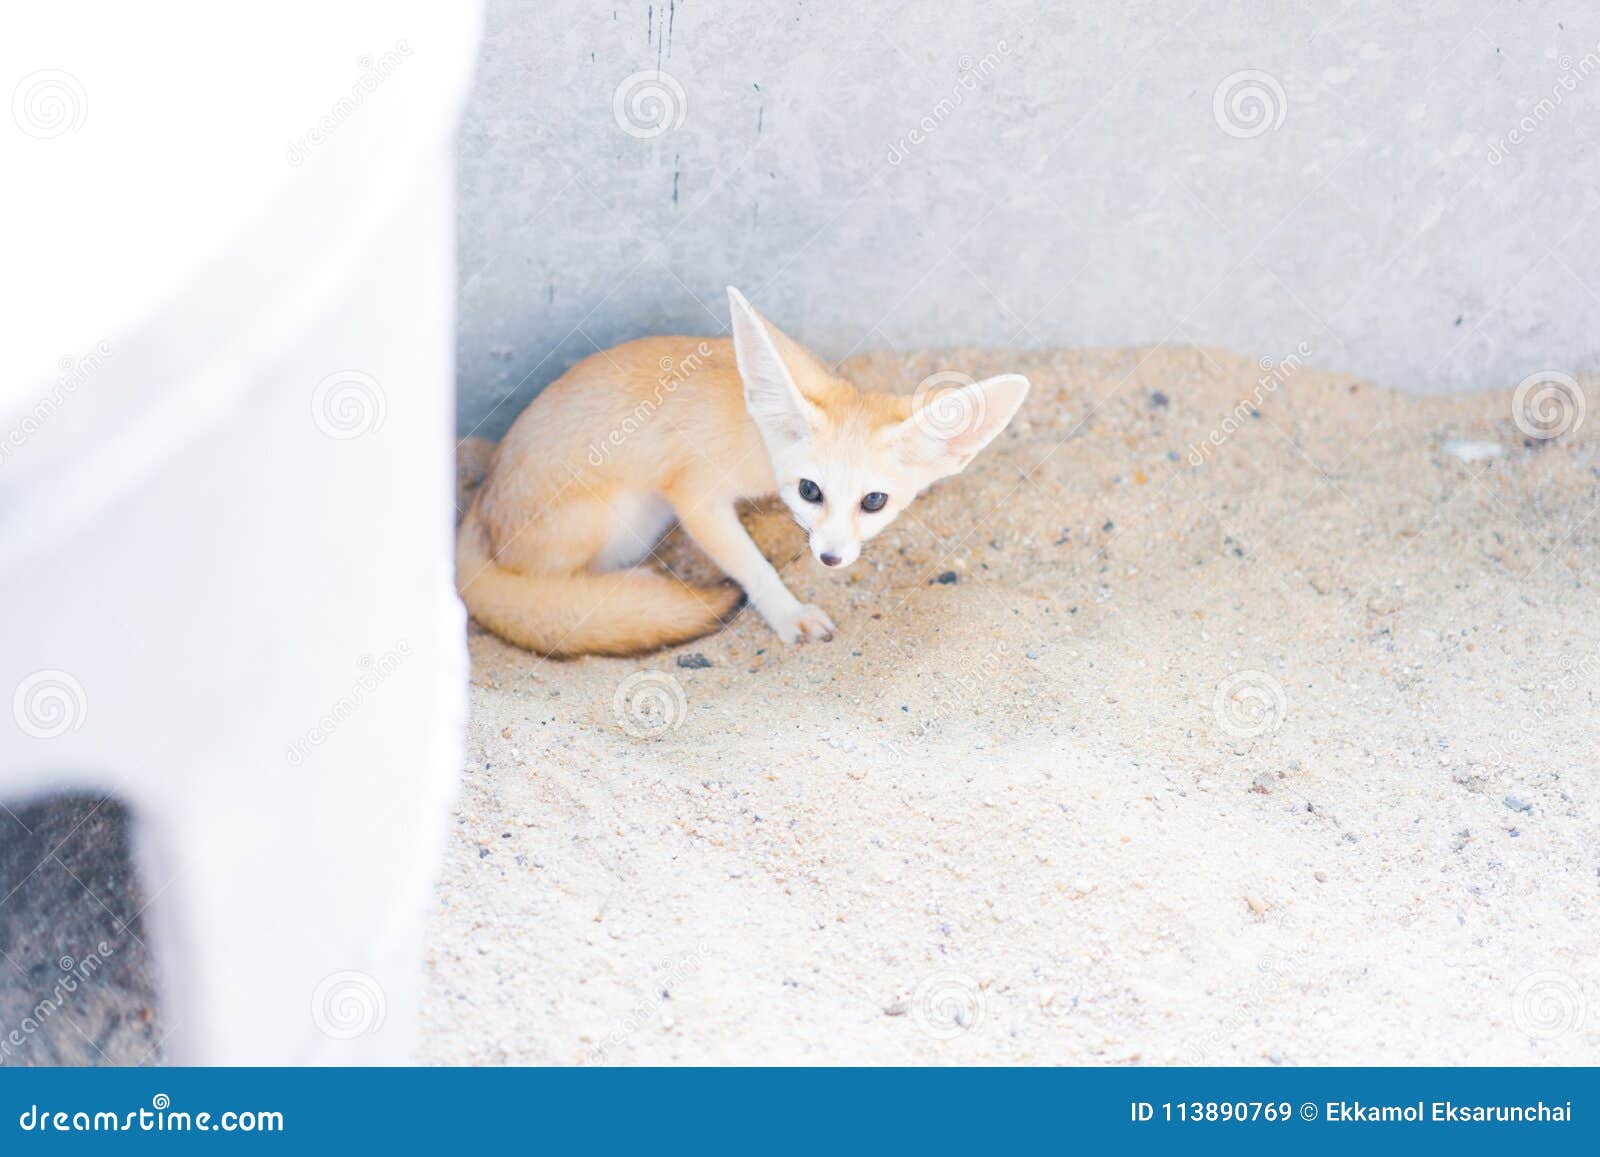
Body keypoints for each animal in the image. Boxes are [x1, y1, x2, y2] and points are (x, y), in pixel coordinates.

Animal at [455, 287, 1029, 657]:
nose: (830, 558)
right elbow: (753, 567)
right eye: (810, 489)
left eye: (874, 501)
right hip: (624, 518)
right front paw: (786, 611)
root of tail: (478, 508)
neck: (753, 429)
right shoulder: (694, 496)